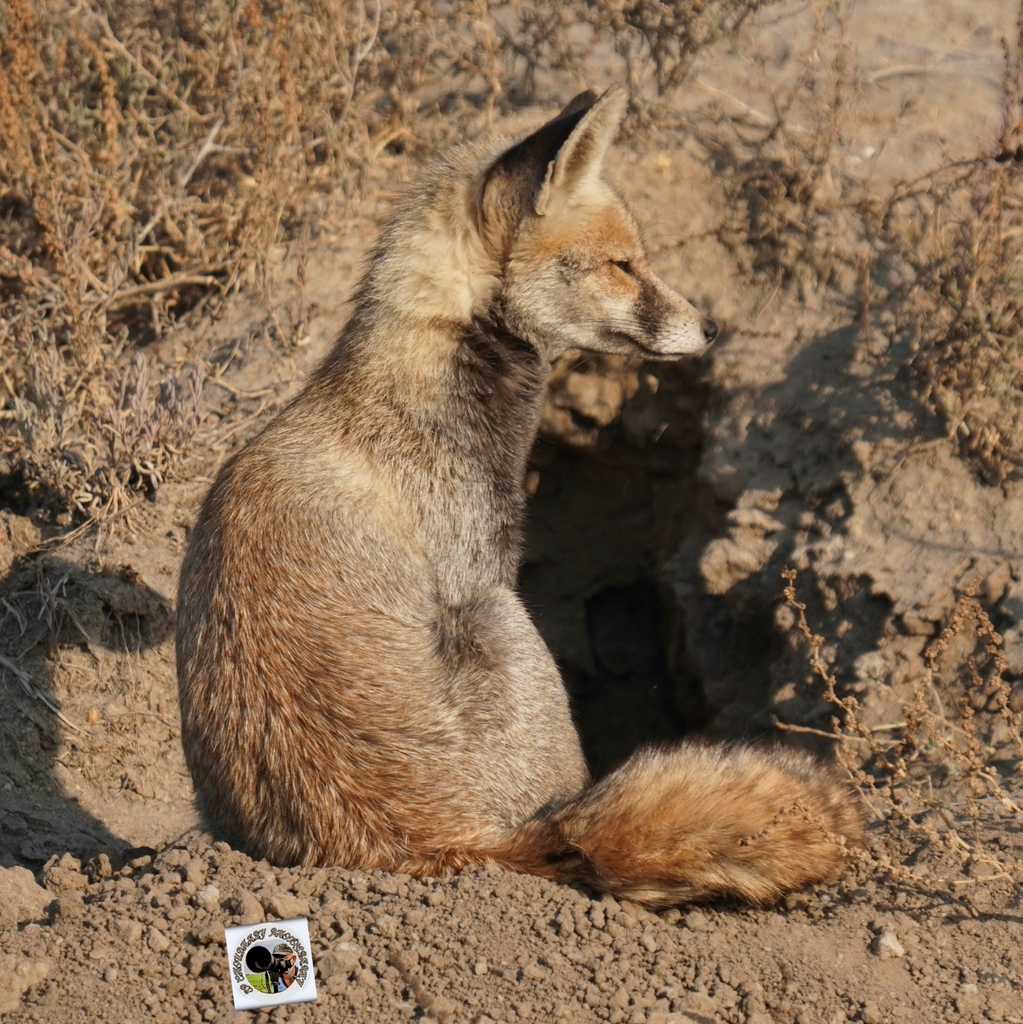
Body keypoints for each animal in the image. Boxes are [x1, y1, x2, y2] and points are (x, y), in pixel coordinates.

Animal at [176, 86, 864, 908]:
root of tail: (450, 845)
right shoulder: (479, 567)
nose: (711, 328)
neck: (417, 407)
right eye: (623, 266)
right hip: (502, 618)